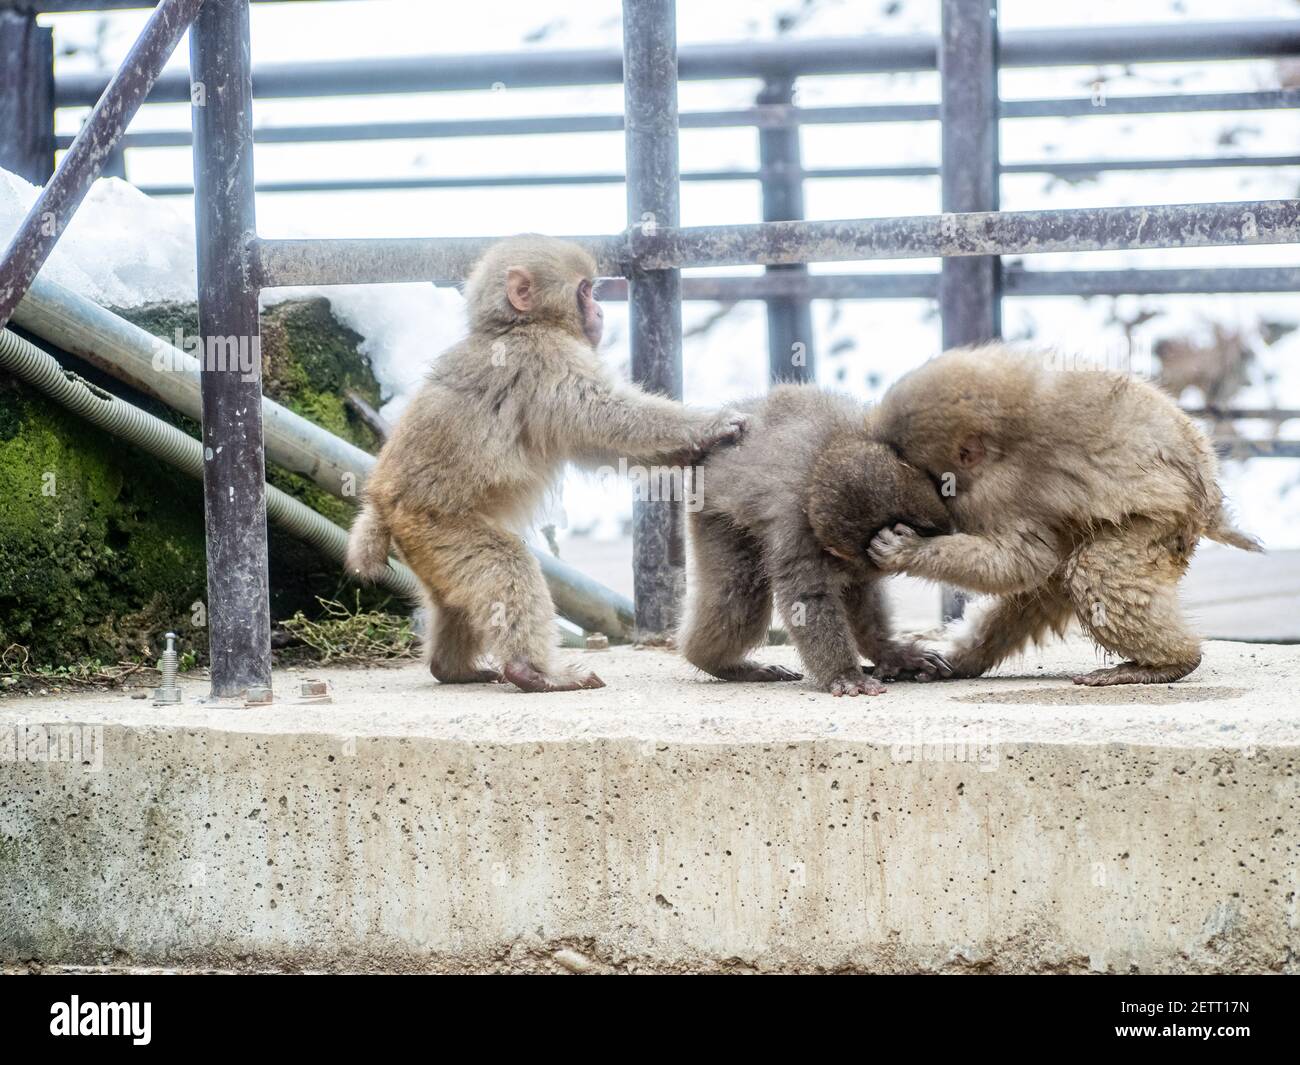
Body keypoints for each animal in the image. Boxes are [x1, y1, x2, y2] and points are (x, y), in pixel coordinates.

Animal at [346, 234, 745, 693]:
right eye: (585, 291)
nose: (600, 310)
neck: (516, 326)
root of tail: (381, 502)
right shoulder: (549, 357)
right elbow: (608, 422)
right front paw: (713, 425)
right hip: (436, 527)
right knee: (507, 564)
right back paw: (532, 671)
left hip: (424, 547)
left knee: (454, 597)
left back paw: (452, 668)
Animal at [678, 385, 954, 696]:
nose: (846, 566)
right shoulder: (796, 529)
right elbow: (808, 596)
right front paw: (845, 673)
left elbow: (858, 591)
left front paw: (888, 651)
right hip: (711, 506)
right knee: (739, 593)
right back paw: (716, 663)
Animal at [866, 344, 1262, 686]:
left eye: (926, 474)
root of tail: (1209, 489)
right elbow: (1027, 570)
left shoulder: (1000, 491)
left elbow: (1022, 560)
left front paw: (907, 550)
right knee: (1048, 586)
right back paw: (962, 661)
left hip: (1166, 522)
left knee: (1091, 571)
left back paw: (1172, 662)